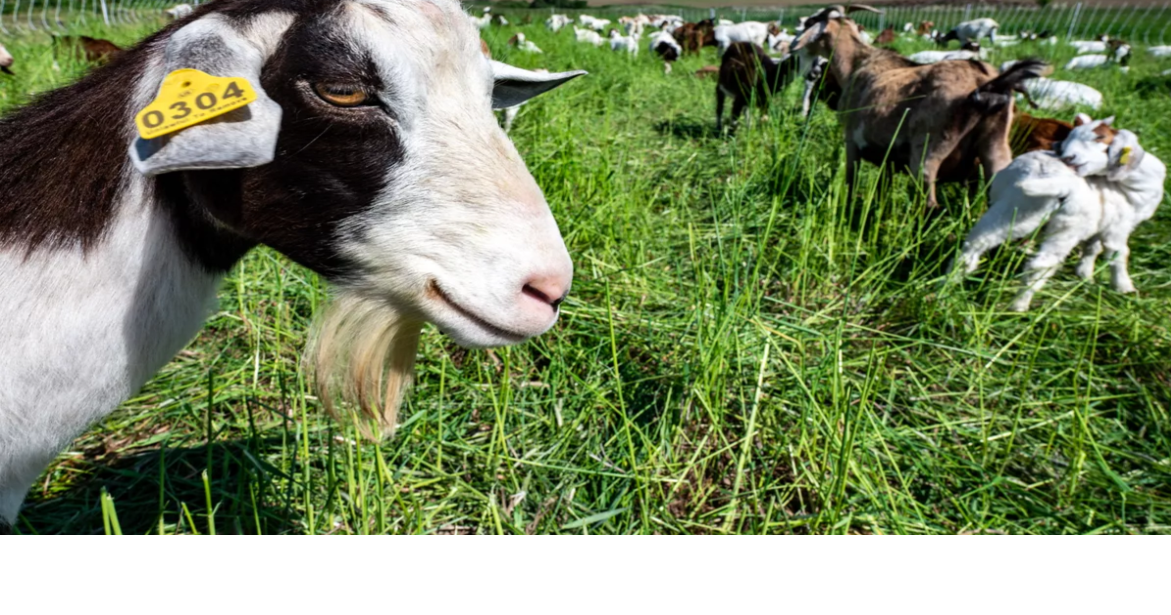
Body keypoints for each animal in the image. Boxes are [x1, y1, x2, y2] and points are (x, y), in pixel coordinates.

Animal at [794, 6, 1046, 208]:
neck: (857, 62)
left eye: (810, 22)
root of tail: (986, 83)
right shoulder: (887, 157)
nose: (811, 72)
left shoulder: (851, 141)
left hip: (928, 151)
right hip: (996, 143)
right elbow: (882, 189)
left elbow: (851, 180)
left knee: (930, 203)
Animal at [956, 116, 1165, 310]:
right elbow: (1118, 254)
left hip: (1014, 209)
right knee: (1041, 265)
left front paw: (1085, 275)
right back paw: (1018, 307)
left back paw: (952, 281)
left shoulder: (1101, 223)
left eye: (1100, 137)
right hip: (1065, 228)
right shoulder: (1118, 226)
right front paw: (1124, 288)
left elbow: (1092, 247)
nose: (1067, 158)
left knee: (976, 243)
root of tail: (1048, 178)